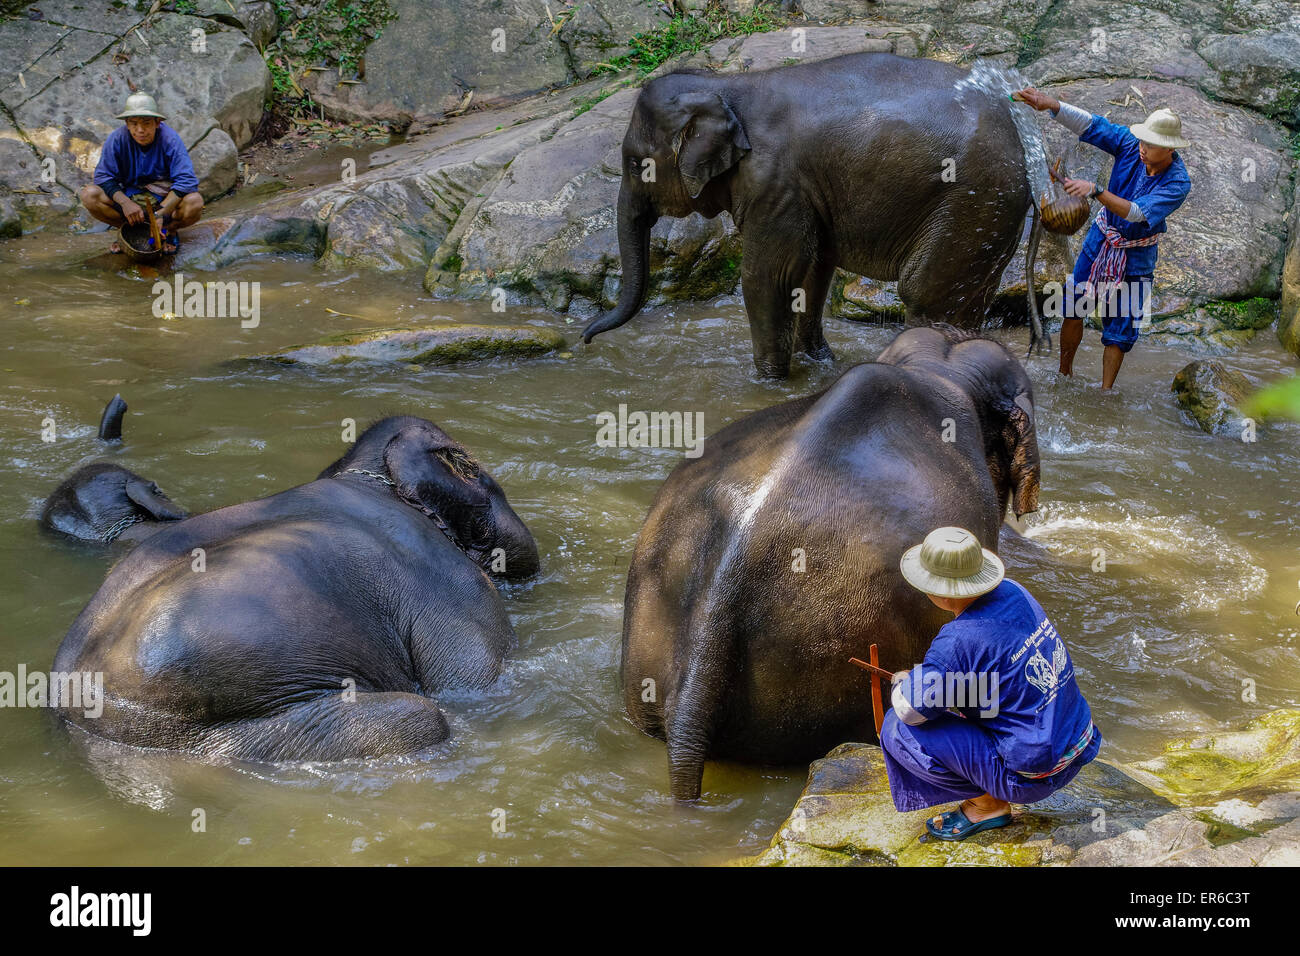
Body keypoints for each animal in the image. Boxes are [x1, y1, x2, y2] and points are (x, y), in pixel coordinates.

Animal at [52, 415, 539, 760]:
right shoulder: (447, 578)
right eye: (482, 475)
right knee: (421, 720)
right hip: (264, 728)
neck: (369, 476)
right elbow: (469, 678)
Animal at [580, 52, 1039, 377]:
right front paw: (817, 363)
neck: (724, 84)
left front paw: (768, 381)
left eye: (636, 163)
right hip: (992, 216)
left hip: (969, 203)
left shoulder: (776, 184)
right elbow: (813, 272)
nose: (584, 339)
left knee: (927, 297)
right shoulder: (806, 194)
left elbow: (767, 277)